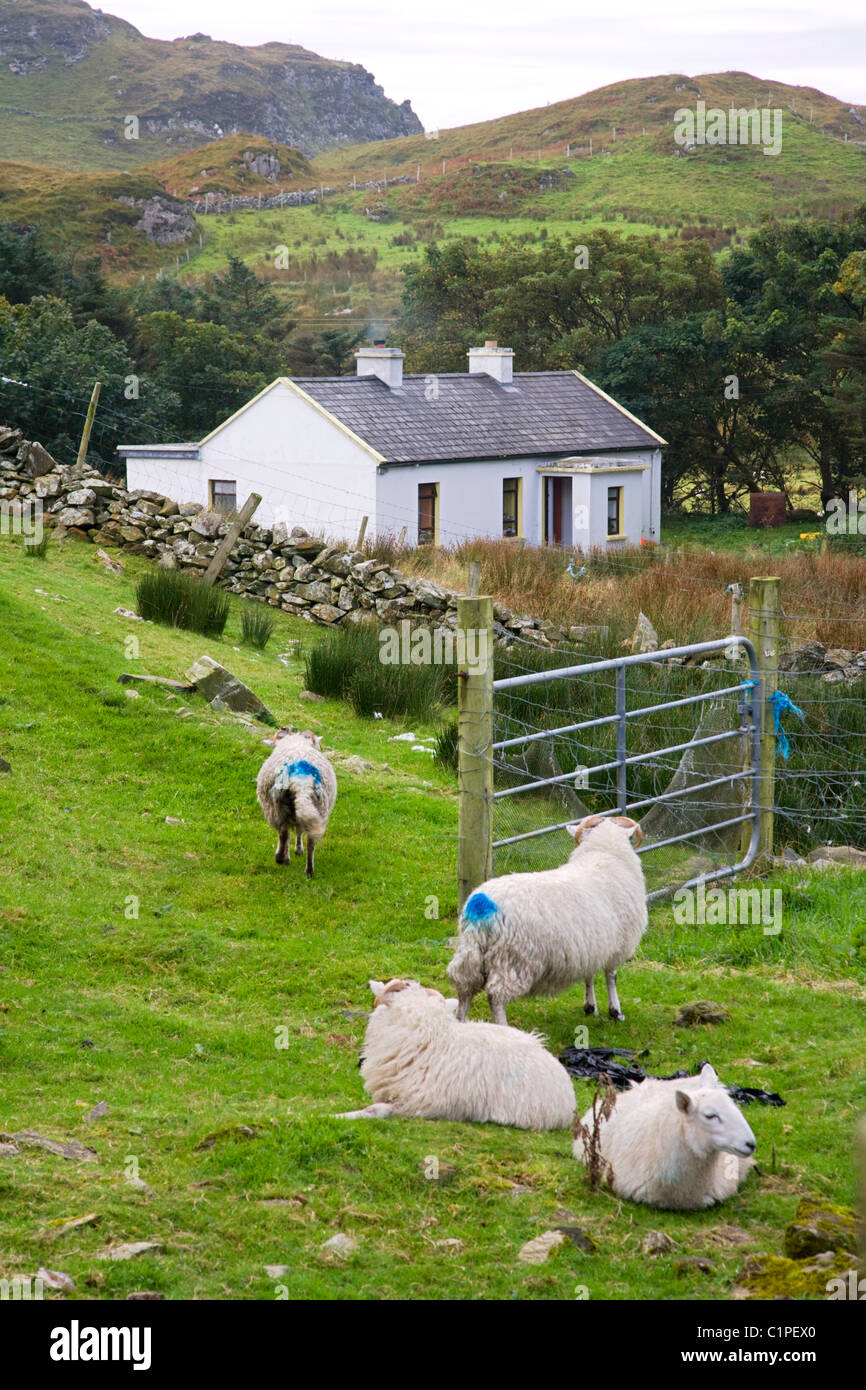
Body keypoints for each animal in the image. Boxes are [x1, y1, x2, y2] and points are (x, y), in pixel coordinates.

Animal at [256, 728, 337, 878]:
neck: (296, 742)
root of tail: (302, 778)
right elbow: (299, 831)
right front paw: (298, 849)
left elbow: (288, 835)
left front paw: (288, 854)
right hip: (318, 806)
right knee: (310, 840)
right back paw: (309, 871)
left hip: (276, 806)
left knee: (283, 832)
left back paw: (280, 858)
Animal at [447, 814, 647, 1026]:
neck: (603, 855)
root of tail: (481, 904)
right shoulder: (619, 945)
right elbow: (611, 977)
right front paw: (615, 1011)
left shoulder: (591, 946)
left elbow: (589, 976)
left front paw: (590, 1006)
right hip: (514, 959)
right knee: (496, 996)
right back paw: (503, 1026)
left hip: (472, 952)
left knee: (465, 990)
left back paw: (461, 1023)